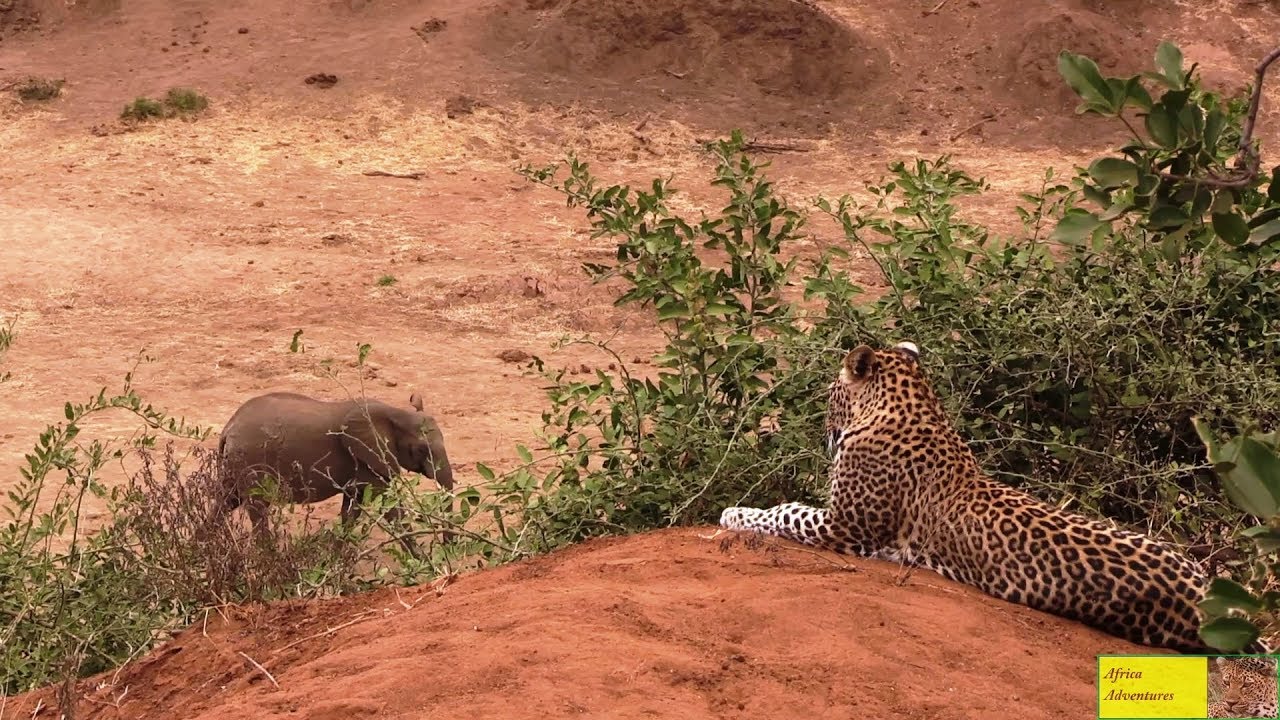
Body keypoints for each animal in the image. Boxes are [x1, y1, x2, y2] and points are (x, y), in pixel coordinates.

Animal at [217, 391, 455, 553]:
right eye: (422, 449)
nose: (448, 550)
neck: (395, 413)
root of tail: (228, 428)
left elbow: (352, 508)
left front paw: (334, 557)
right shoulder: (367, 456)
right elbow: (390, 506)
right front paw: (424, 561)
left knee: (227, 500)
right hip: (251, 462)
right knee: (257, 507)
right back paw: (267, 555)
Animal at [719, 340, 1274, 655]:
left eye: (829, 396)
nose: (825, 432)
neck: (909, 405)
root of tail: (1214, 597)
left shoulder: (845, 528)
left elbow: (786, 512)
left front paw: (734, 512)